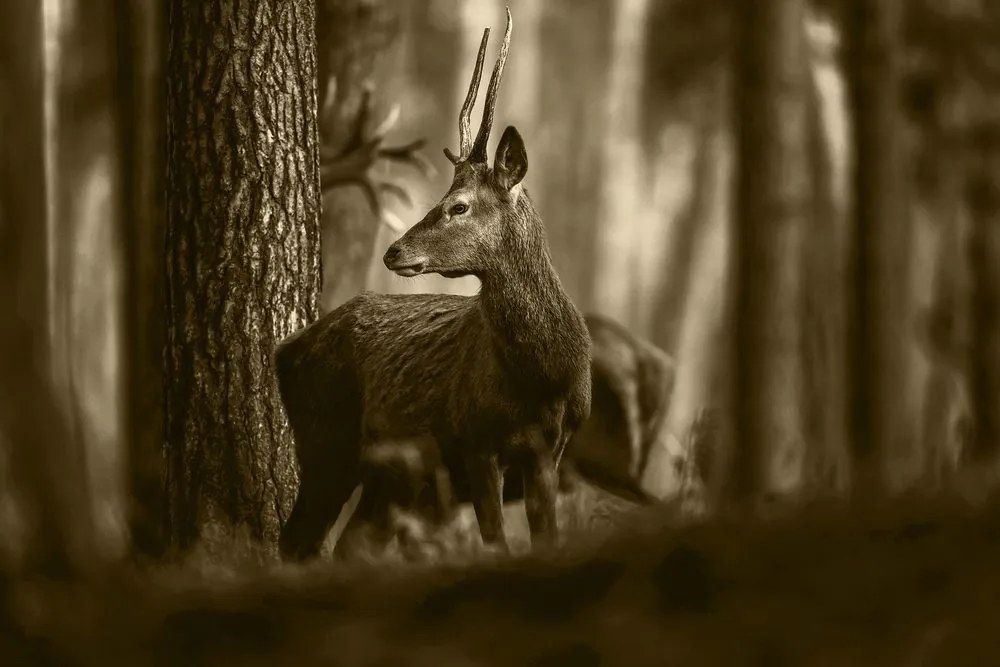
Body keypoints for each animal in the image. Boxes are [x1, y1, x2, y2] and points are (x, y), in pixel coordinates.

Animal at [274, 9, 588, 564]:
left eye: (458, 205)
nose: (393, 251)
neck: (543, 377)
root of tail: (281, 351)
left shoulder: (551, 449)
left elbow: (545, 538)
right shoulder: (476, 439)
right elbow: (495, 542)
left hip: (389, 476)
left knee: (346, 544)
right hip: (326, 440)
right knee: (298, 541)